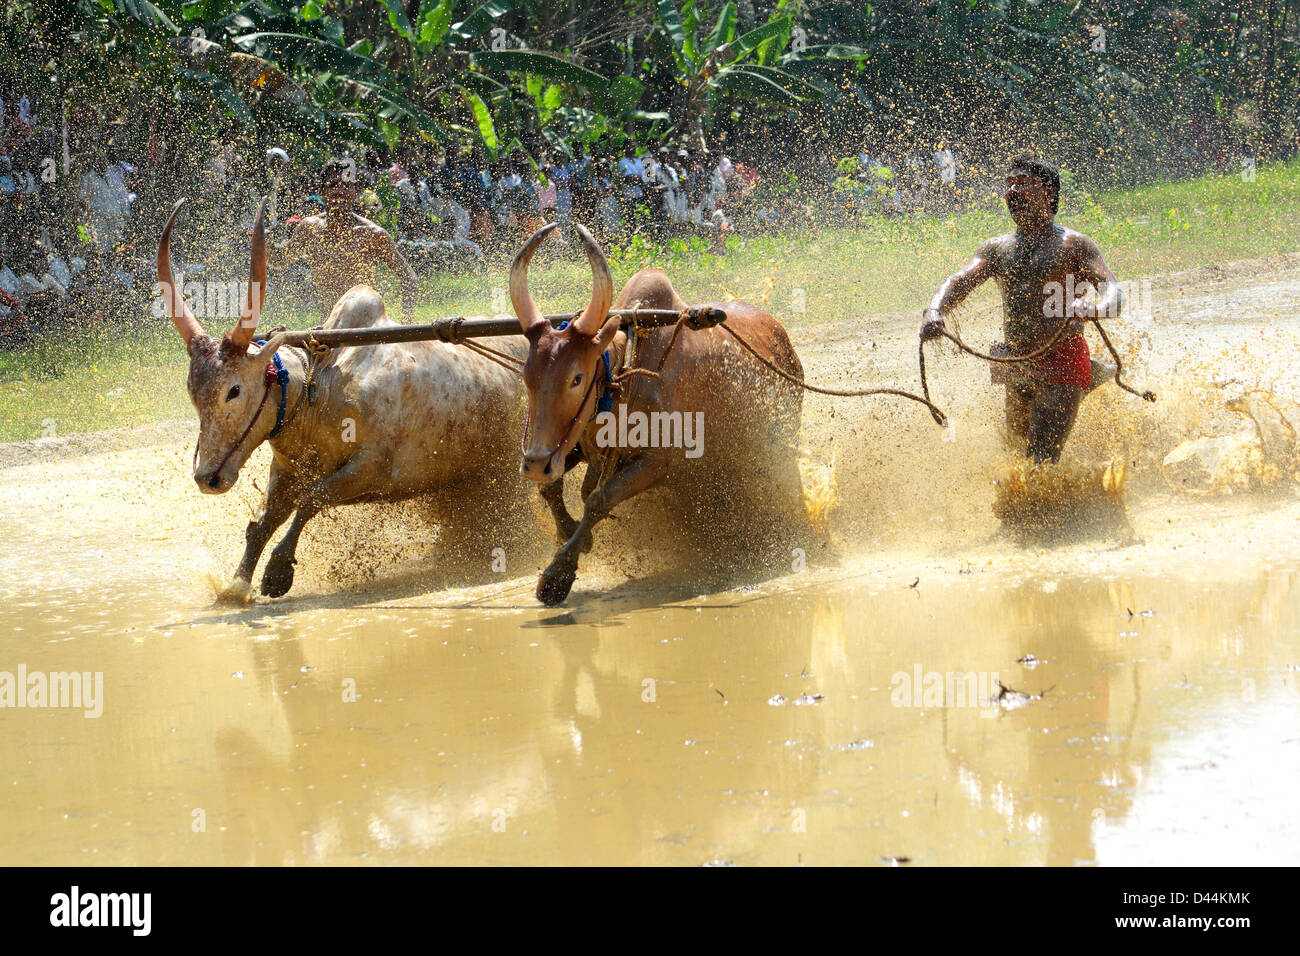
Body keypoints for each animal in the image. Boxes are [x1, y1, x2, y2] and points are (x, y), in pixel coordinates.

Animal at [157, 198, 529, 598]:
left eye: (234, 390)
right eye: (193, 393)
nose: (206, 478)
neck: (317, 388)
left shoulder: (373, 469)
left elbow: (312, 499)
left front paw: (277, 571)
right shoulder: (285, 469)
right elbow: (263, 522)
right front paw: (237, 584)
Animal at [509, 223, 810, 605]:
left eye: (576, 377)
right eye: (527, 375)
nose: (534, 463)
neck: (625, 377)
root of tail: (783, 341)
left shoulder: (655, 462)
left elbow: (597, 500)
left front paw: (558, 573)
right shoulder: (574, 445)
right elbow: (552, 488)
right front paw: (571, 534)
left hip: (780, 445)